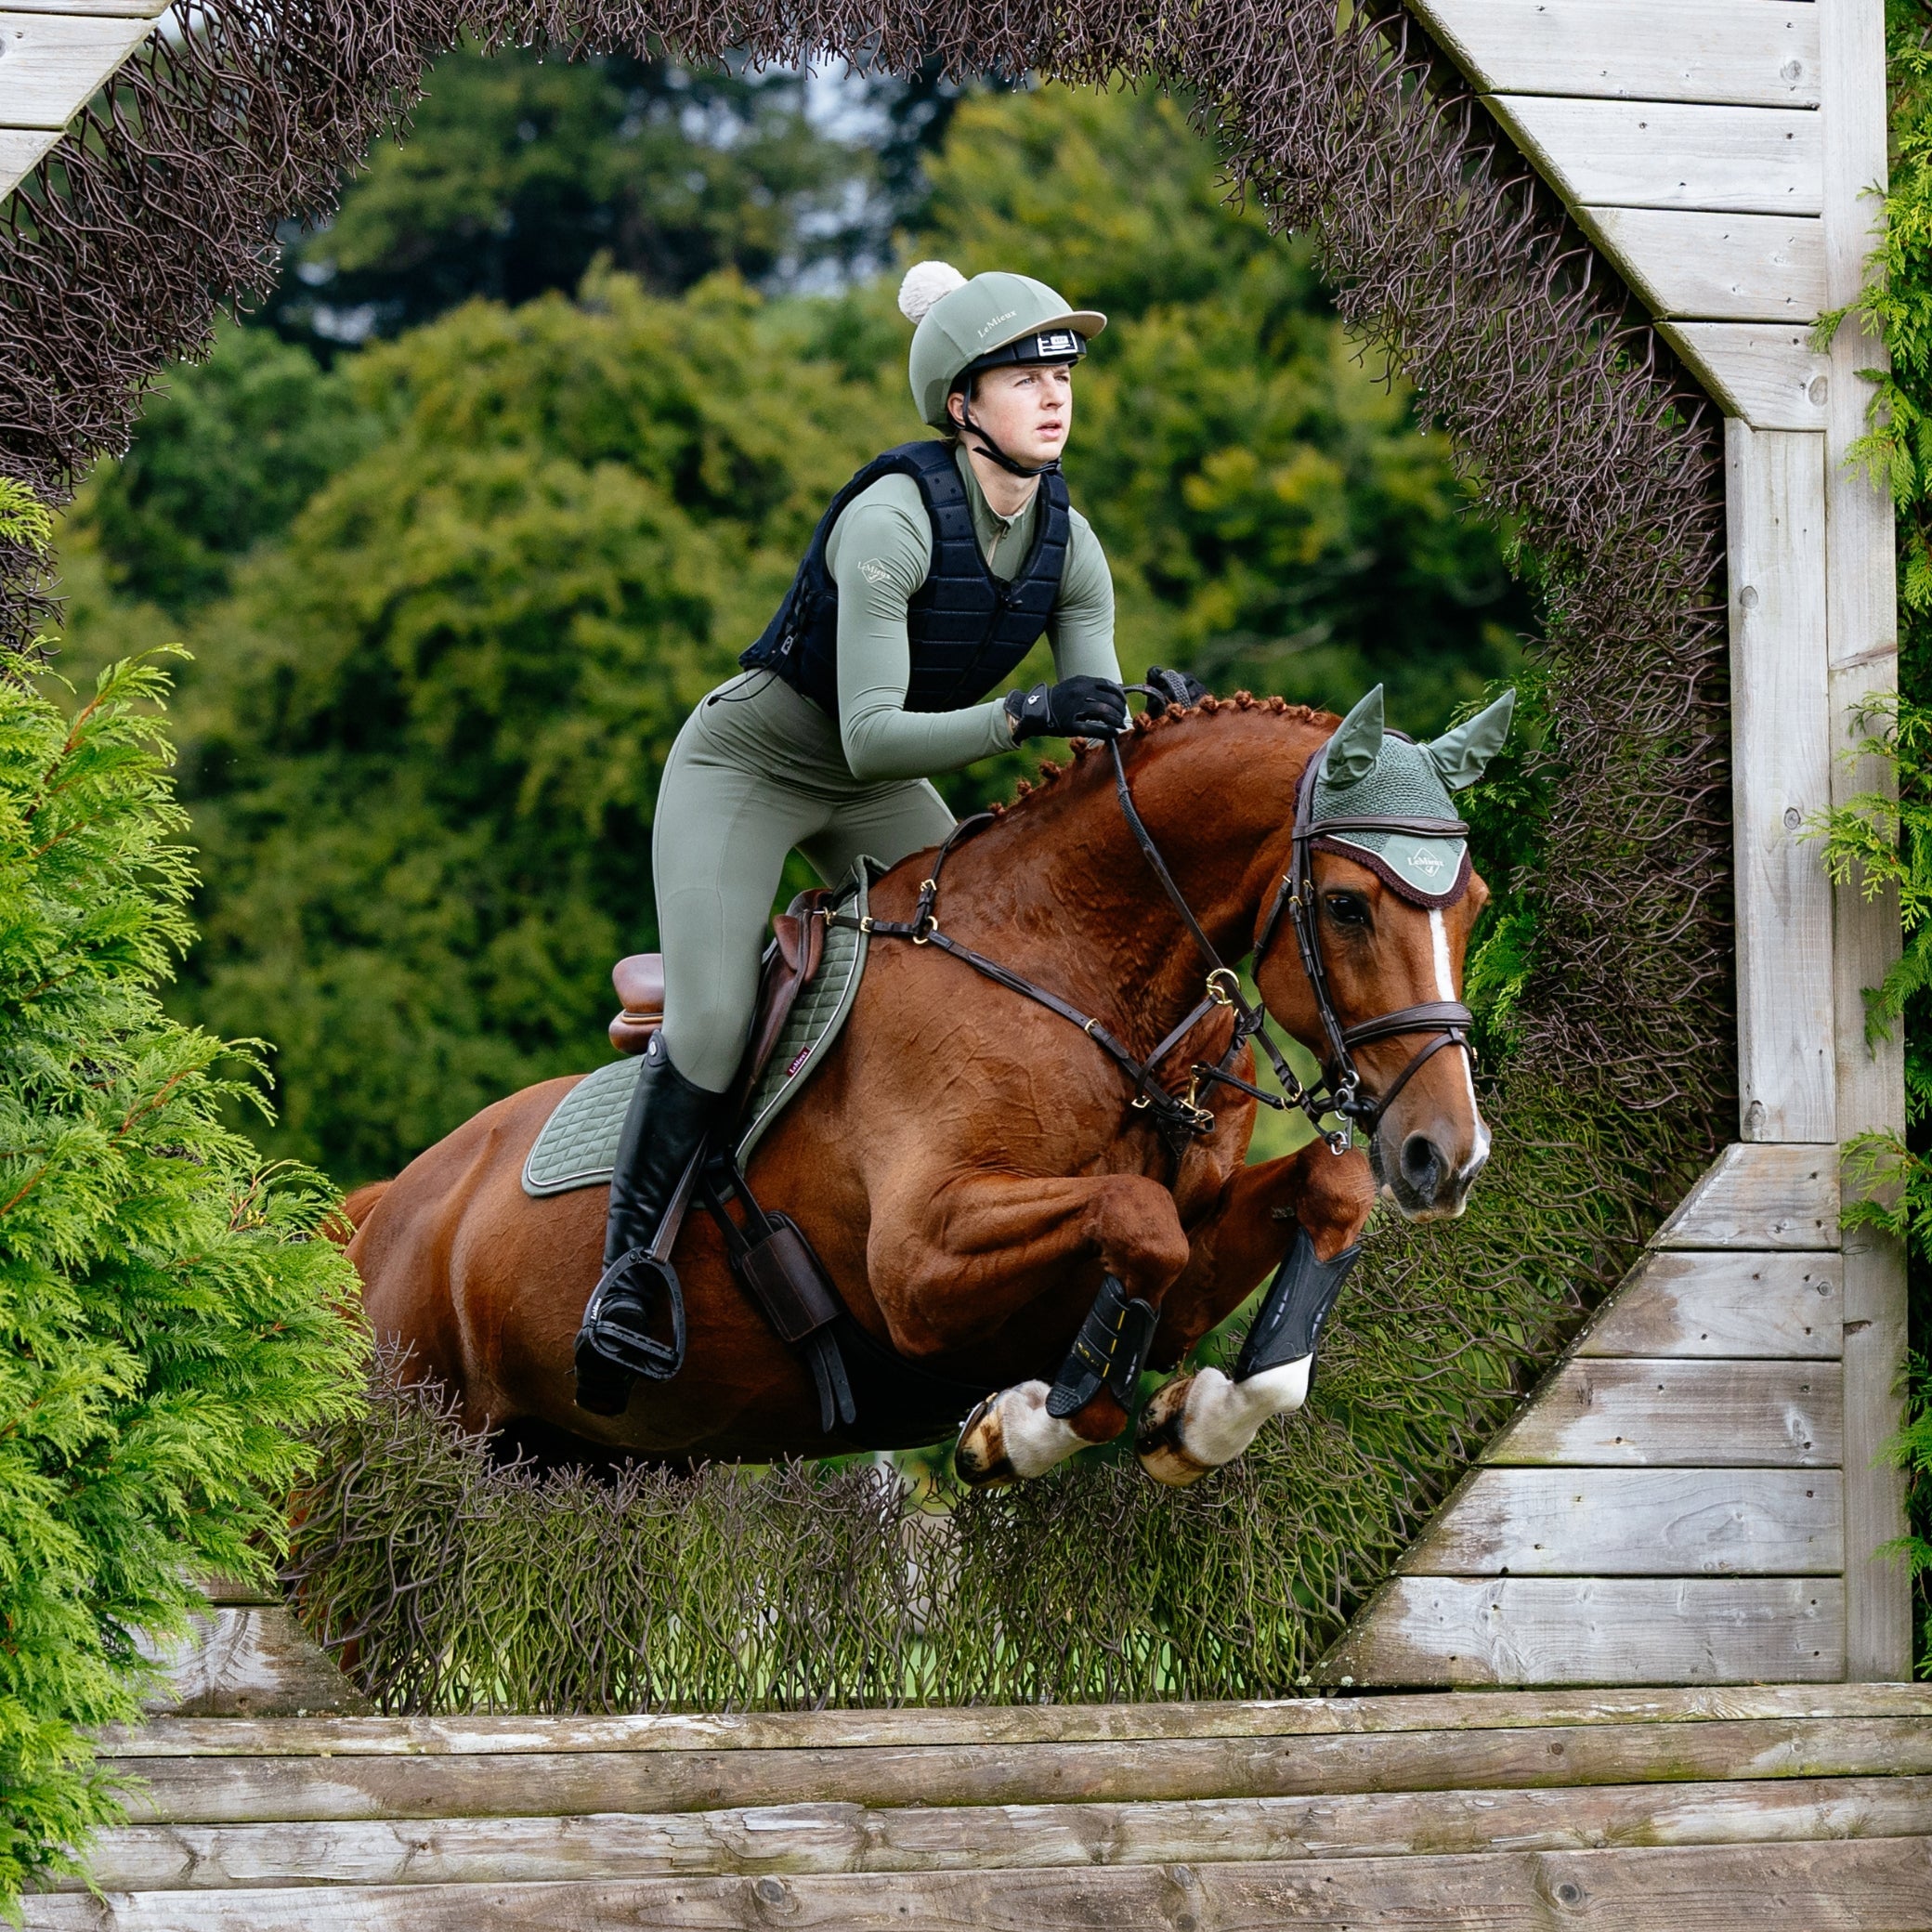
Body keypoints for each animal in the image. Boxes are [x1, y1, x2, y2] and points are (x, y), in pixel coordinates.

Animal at [347, 691, 1496, 1486]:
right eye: (1346, 905)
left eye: (1474, 902)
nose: (1447, 1156)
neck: (1091, 984)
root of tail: (383, 1206)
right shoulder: (917, 1267)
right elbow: (1140, 1221)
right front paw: (1016, 1429)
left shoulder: (1196, 1235)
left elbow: (1315, 1201)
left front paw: (1194, 1419)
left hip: (584, 1460)